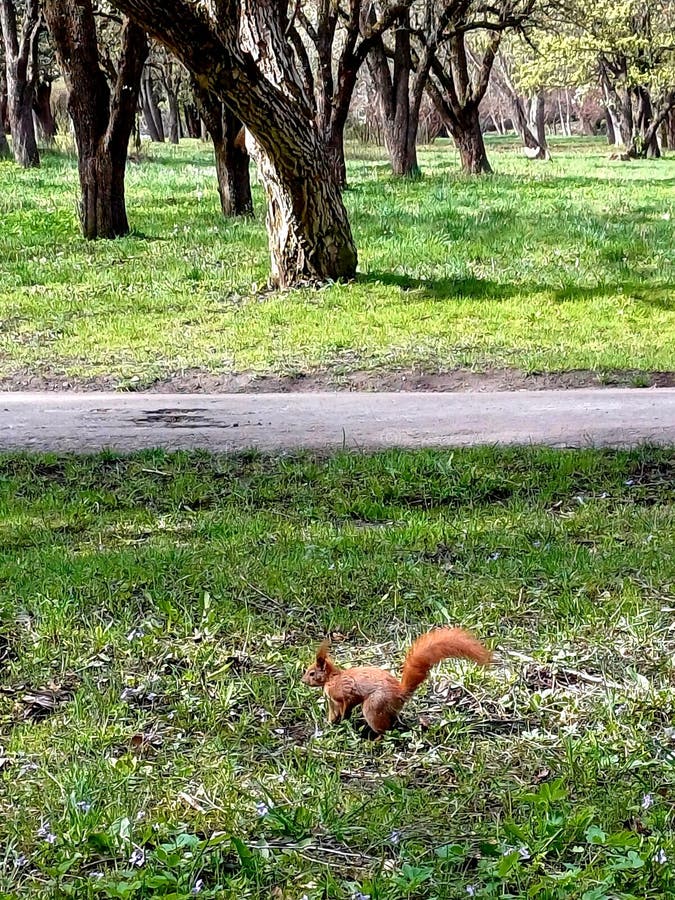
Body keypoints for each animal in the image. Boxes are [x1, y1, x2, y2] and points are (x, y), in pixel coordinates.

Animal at [301, 628, 492, 734]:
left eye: (311, 673)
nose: (303, 681)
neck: (332, 678)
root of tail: (400, 694)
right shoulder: (333, 702)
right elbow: (333, 713)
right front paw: (331, 724)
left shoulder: (345, 692)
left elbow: (346, 704)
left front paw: (343, 720)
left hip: (373, 706)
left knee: (385, 730)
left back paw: (374, 740)